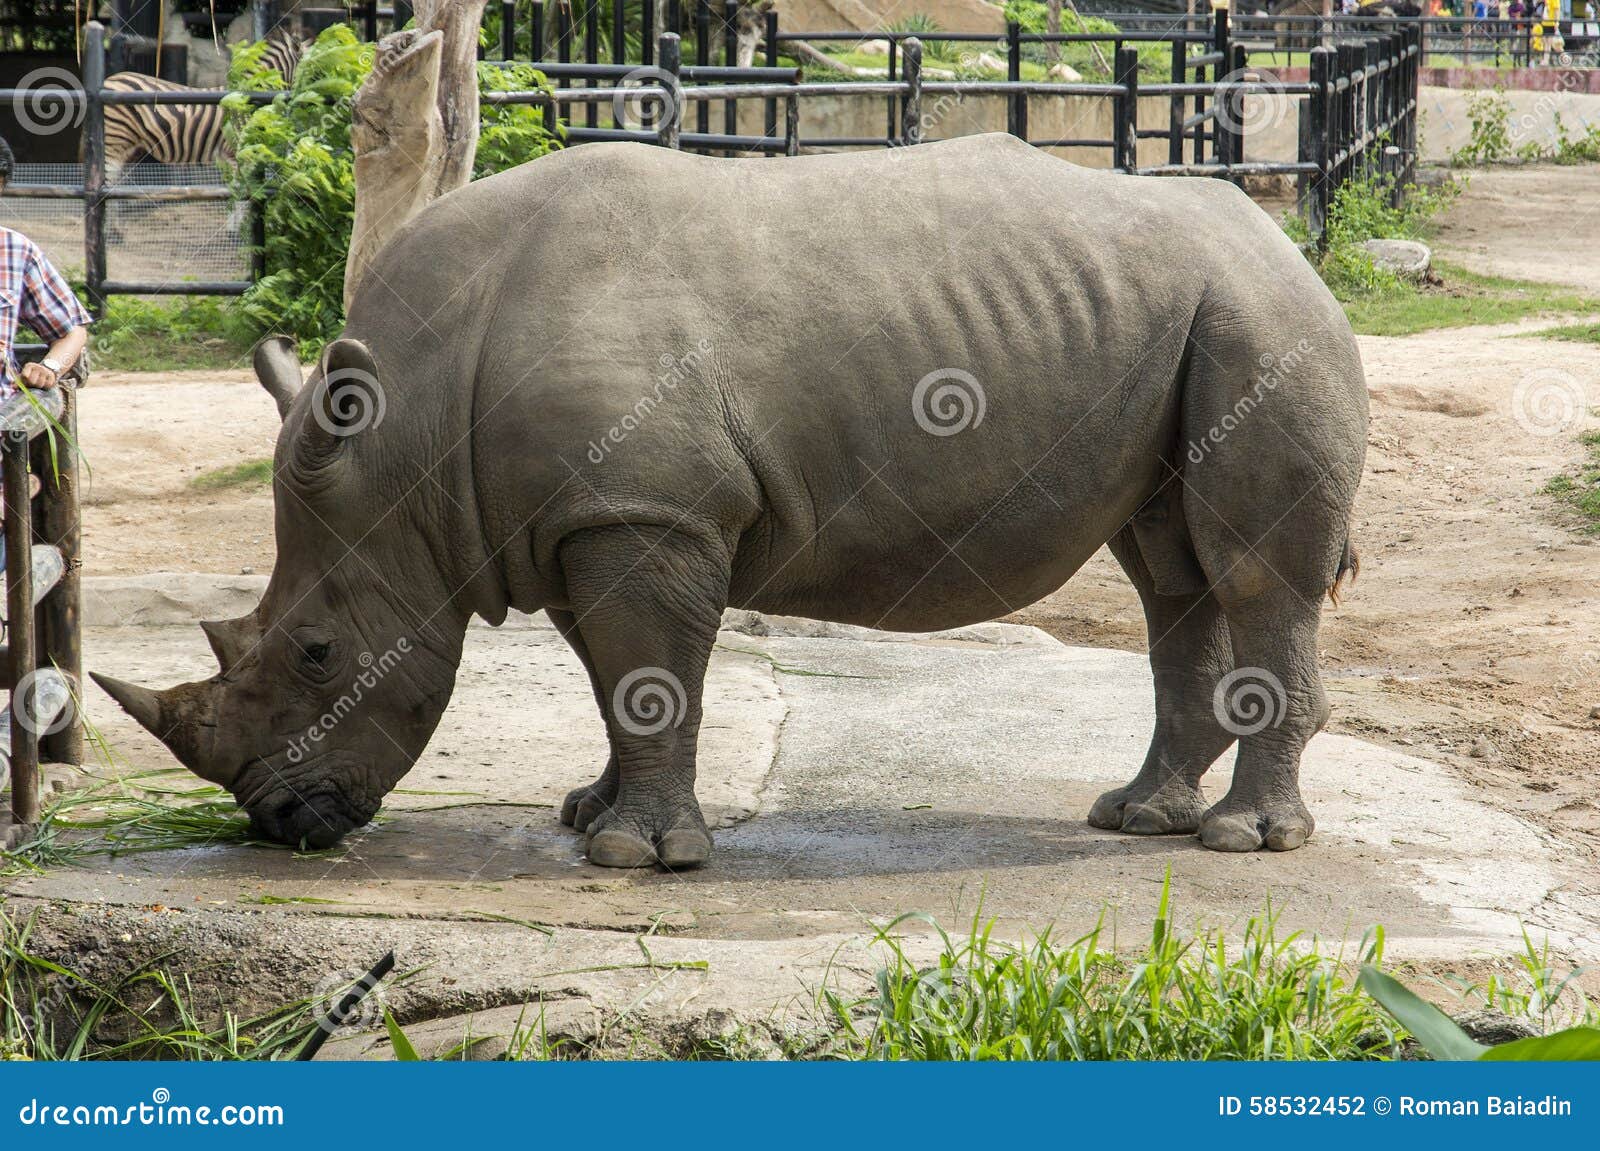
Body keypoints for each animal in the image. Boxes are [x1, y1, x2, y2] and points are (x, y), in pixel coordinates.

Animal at [93, 133, 1367, 868]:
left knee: (1250, 573)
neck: (412, 436)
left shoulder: (642, 510)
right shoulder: (589, 515)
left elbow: (649, 674)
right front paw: (585, 813)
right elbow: (620, 680)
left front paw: (635, 857)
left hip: (1264, 318)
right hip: (1192, 318)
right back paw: (1139, 817)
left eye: (316, 653)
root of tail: (1282, 237)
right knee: (1170, 573)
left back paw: (1243, 840)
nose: (275, 820)